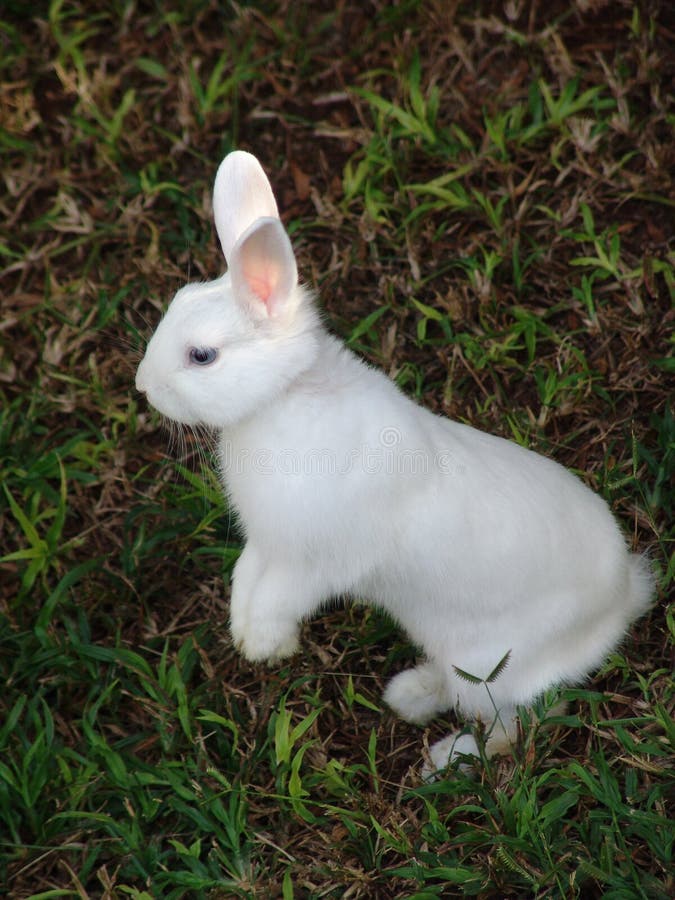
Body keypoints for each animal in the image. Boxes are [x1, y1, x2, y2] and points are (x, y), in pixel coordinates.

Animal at [135, 150, 654, 773]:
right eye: (176, 302)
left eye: (202, 355)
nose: (142, 386)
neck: (283, 399)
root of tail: (624, 600)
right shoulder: (268, 543)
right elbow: (246, 577)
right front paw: (250, 636)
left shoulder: (320, 560)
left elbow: (283, 596)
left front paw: (262, 645)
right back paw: (409, 695)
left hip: (489, 667)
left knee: (520, 725)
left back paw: (445, 759)